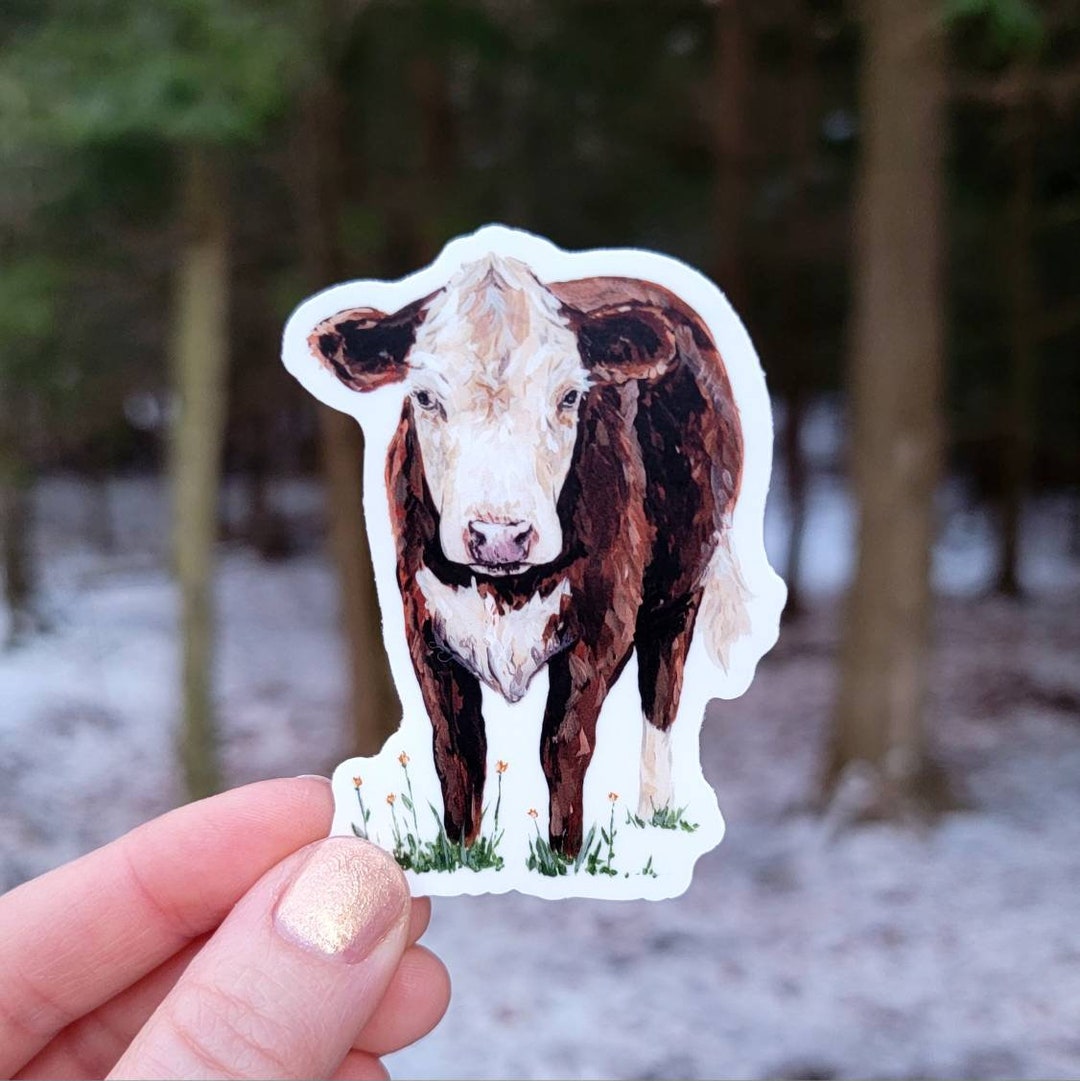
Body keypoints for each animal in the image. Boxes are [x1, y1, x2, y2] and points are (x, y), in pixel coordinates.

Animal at [305, 254, 749, 859]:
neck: (503, 589)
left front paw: (563, 856)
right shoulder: (424, 624)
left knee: (661, 693)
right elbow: (456, 747)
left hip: (681, 589)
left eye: (569, 396)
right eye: (425, 397)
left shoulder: (603, 621)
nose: (499, 535)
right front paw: (461, 854)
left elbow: (563, 743)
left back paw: (654, 811)